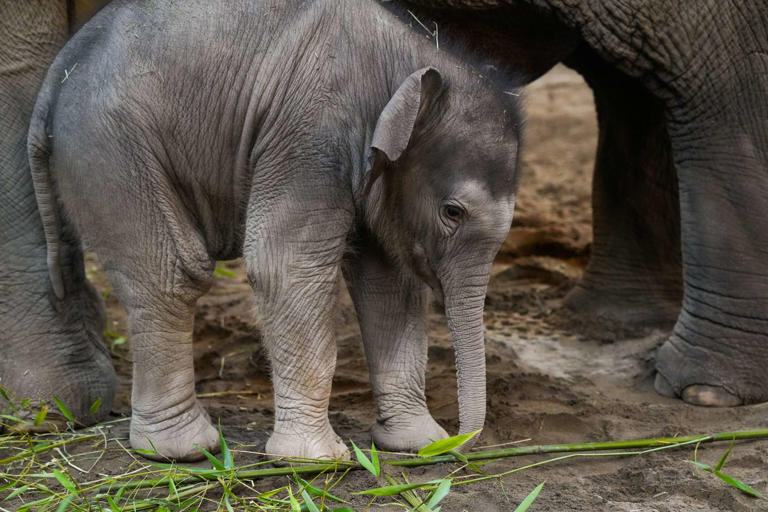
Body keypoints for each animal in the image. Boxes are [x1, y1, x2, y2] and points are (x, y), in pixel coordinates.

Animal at [25, 0, 521, 460]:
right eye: (453, 212)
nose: (460, 444)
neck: (408, 56)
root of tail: (58, 73)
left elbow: (389, 286)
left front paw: (418, 444)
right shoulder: (311, 135)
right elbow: (284, 265)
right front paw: (316, 461)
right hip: (111, 153)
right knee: (173, 275)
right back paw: (185, 449)